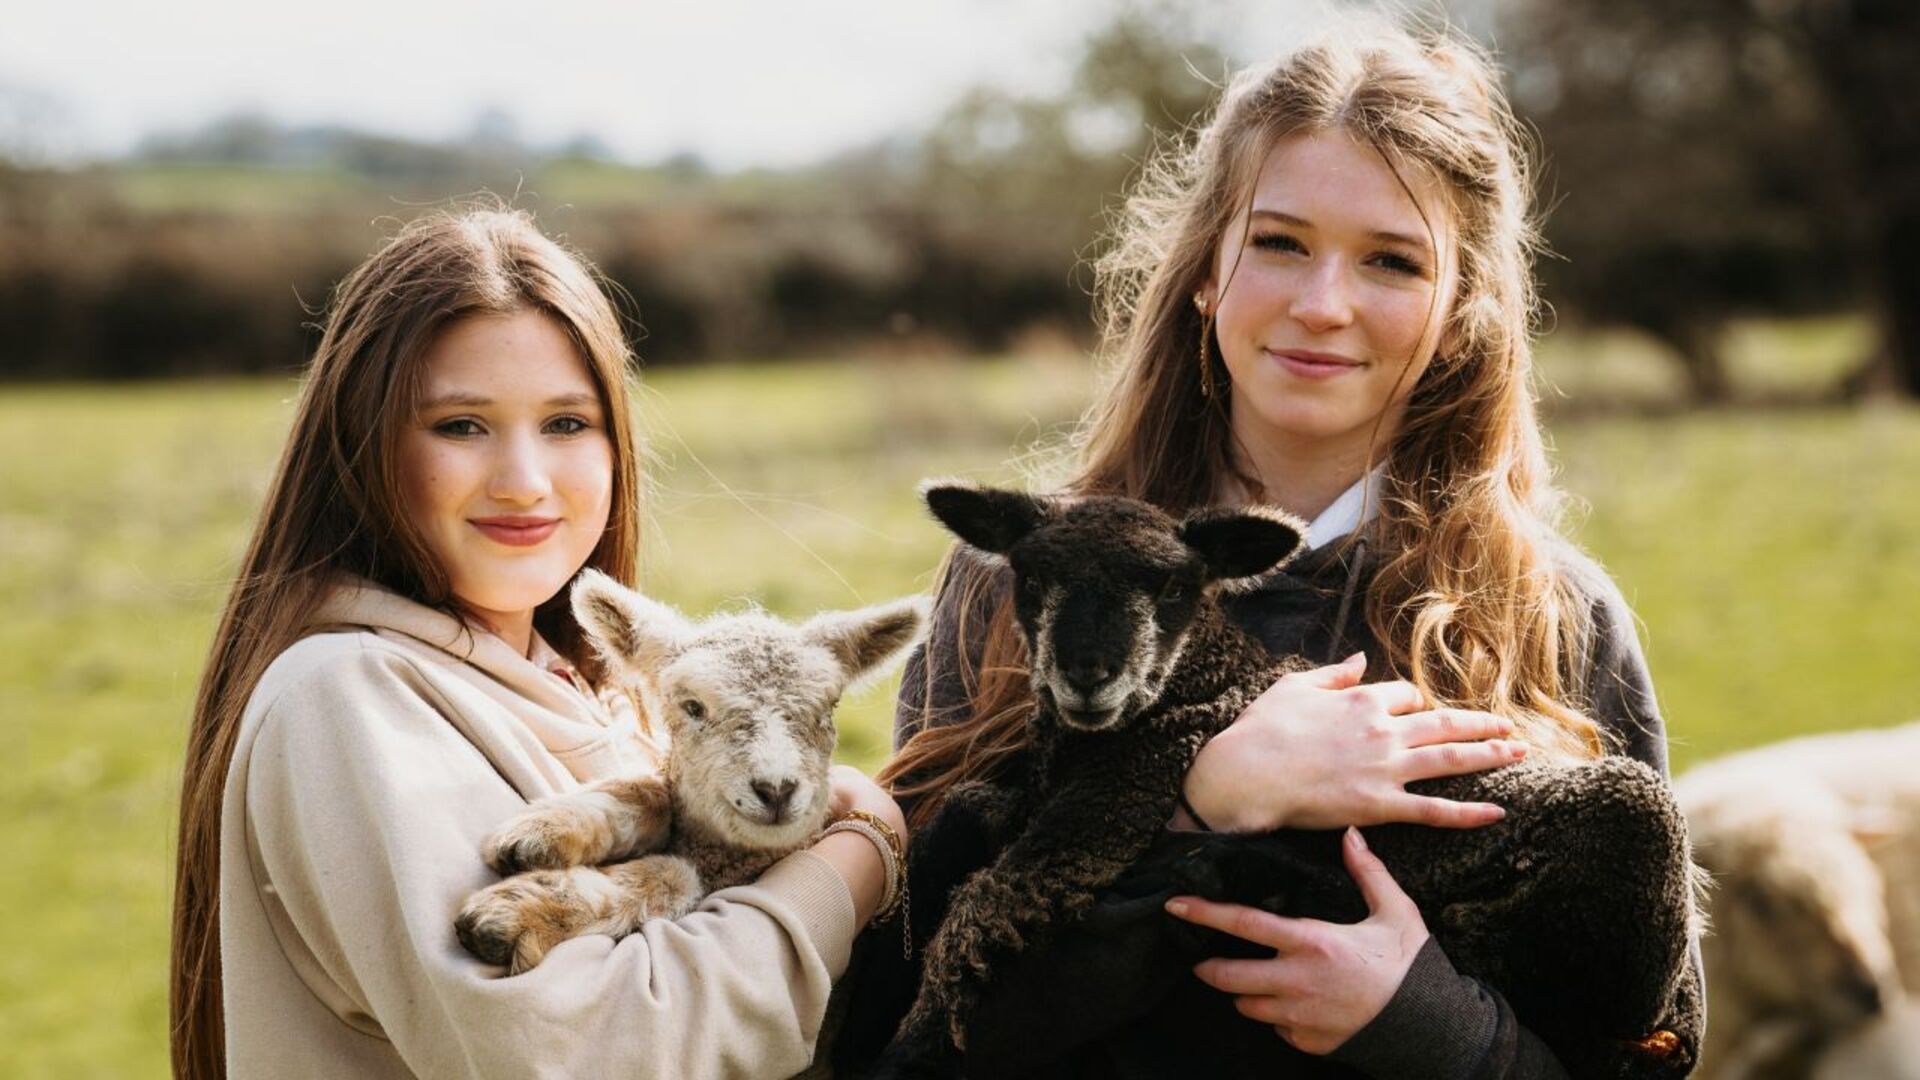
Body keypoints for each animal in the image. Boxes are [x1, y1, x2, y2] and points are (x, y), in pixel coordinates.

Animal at [454, 569, 926, 975]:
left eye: (828, 708)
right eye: (693, 707)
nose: (776, 789)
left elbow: (675, 875)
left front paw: (517, 909)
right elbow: (650, 792)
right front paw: (543, 827)